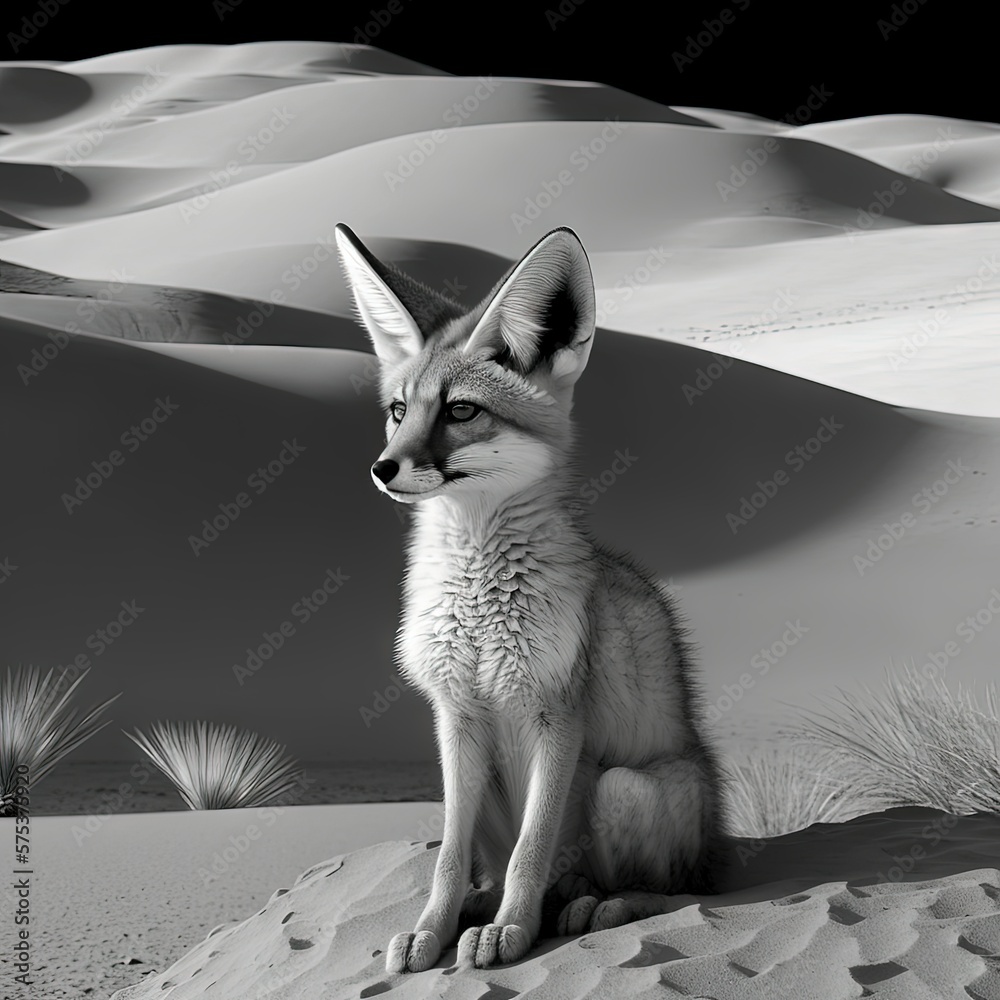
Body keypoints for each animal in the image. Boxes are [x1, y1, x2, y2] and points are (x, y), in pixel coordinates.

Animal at [335, 222, 727, 973]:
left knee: (673, 890)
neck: (480, 604)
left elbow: (532, 849)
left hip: (622, 787)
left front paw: (512, 930)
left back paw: (595, 905)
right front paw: (433, 931)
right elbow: (450, 860)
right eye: (399, 411)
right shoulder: (456, 718)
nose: (381, 468)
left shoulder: (558, 715)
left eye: (461, 411)